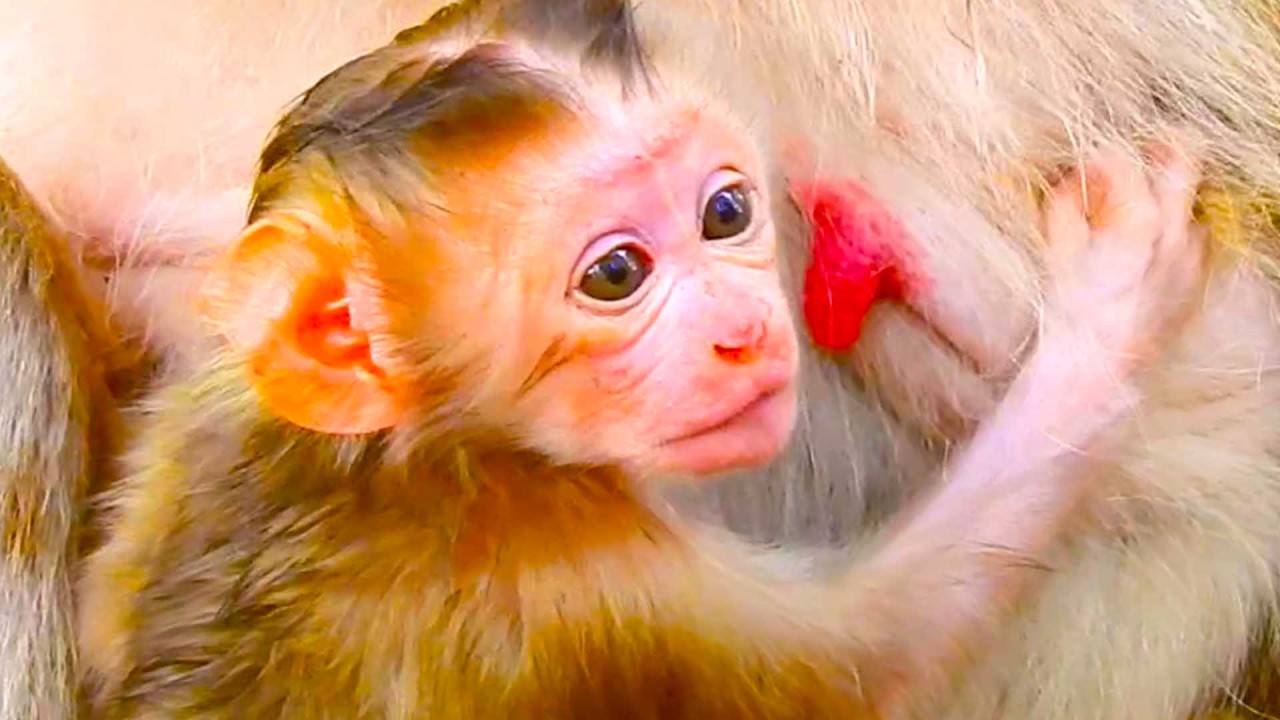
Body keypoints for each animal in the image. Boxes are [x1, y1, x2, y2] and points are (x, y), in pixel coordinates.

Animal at [2, 0, 1280, 718]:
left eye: (725, 212)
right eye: (614, 275)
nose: (742, 336)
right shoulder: (541, 565)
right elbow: (879, 650)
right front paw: (1099, 318)